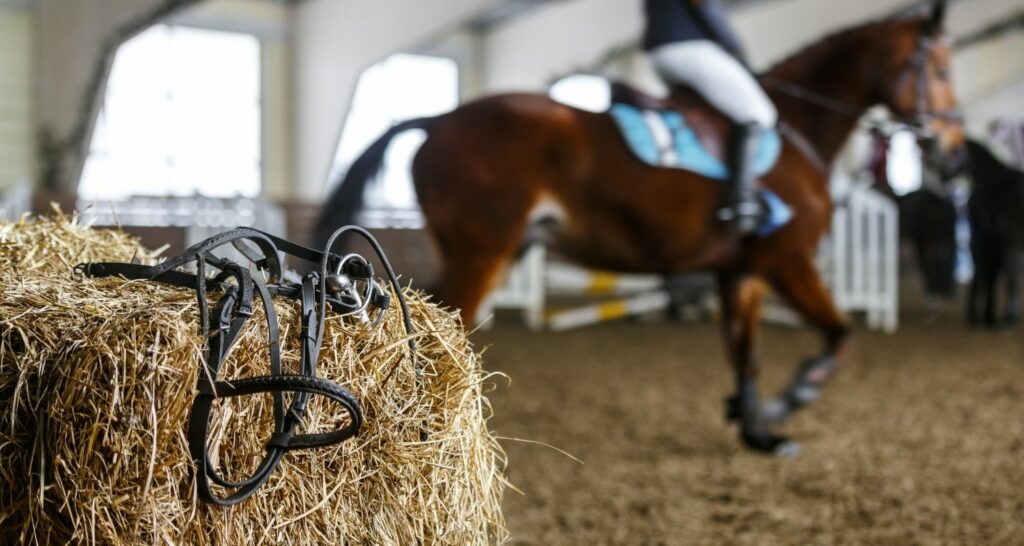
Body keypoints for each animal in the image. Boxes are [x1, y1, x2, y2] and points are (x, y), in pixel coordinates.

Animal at [316, 2, 964, 455]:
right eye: (938, 67)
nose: (955, 155)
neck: (798, 128)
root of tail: (439, 117)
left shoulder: (742, 269)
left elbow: (747, 352)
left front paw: (757, 429)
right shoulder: (788, 258)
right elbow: (839, 335)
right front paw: (787, 405)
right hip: (482, 253)